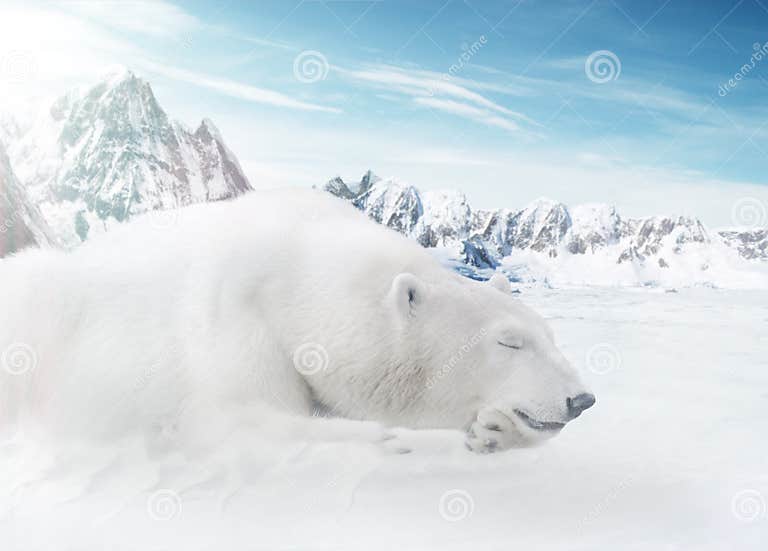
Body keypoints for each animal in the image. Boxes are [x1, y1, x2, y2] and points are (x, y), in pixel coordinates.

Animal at [0, 188, 594, 454]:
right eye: (509, 343)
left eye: (549, 335)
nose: (581, 399)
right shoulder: (233, 317)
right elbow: (240, 416)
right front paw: (395, 438)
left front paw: (495, 429)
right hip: (41, 306)